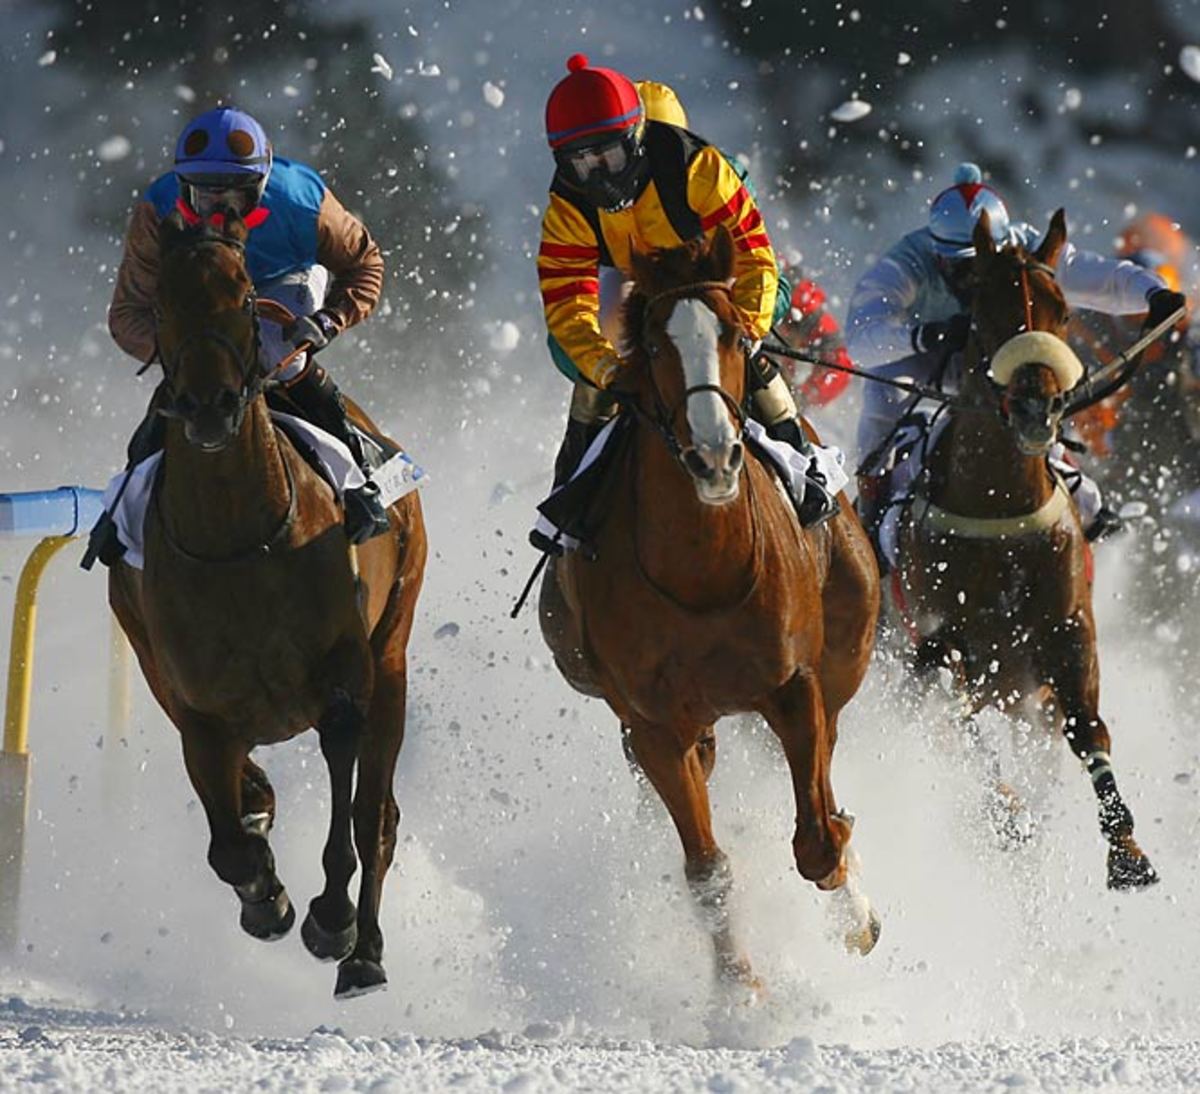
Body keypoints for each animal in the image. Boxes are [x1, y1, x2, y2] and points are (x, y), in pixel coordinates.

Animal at [107, 210, 427, 997]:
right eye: (162, 305)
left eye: (247, 296)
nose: (211, 406)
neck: (238, 539)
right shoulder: (194, 703)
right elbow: (229, 843)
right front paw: (266, 892)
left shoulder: (346, 670)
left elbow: (346, 779)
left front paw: (329, 918)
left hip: (394, 650)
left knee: (377, 815)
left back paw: (364, 954)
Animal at [538, 227, 882, 991]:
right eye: (653, 343)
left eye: (732, 334)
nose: (715, 455)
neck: (704, 573)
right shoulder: (654, 724)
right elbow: (706, 870)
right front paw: (737, 990)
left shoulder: (793, 685)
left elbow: (819, 838)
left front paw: (854, 910)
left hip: (847, 642)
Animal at [894, 209, 1157, 890]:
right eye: (985, 312)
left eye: (1061, 311)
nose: (1040, 408)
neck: (999, 513)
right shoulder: (938, 641)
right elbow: (957, 710)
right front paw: (1007, 812)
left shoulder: (1067, 632)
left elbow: (1086, 726)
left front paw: (1126, 848)